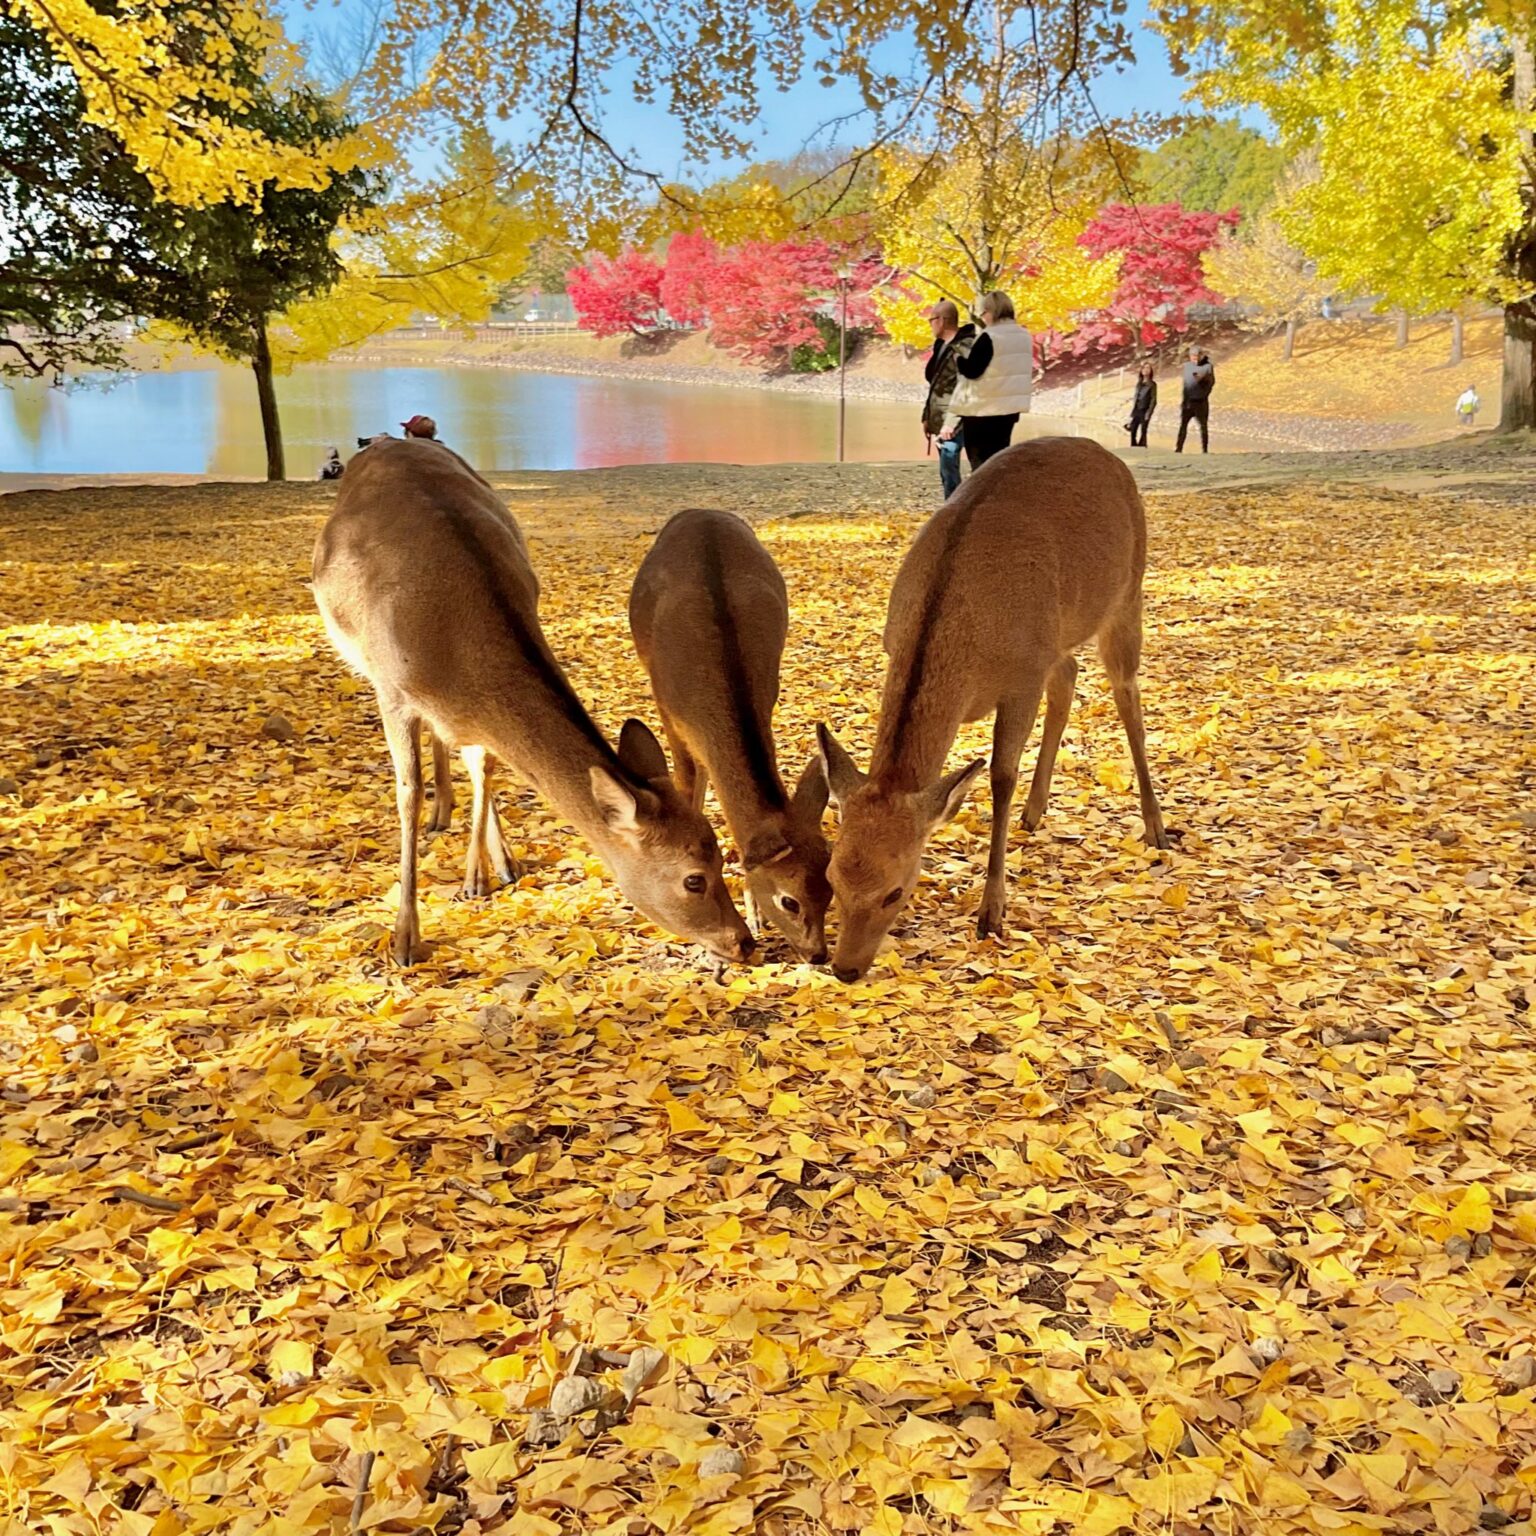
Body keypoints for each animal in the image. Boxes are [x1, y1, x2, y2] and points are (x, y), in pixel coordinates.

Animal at [311, 438, 755, 967]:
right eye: (694, 878)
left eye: (719, 852)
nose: (744, 941)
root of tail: (387, 440)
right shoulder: (391, 690)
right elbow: (406, 794)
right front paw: (404, 939)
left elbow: (485, 766)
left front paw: (482, 874)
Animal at [629, 509, 831, 963]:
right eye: (789, 900)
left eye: (830, 892)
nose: (819, 955)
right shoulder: (669, 716)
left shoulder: (769, 698)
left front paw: (752, 916)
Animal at [816, 436, 1169, 983]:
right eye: (831, 876)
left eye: (896, 889)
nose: (846, 968)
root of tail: (1104, 452)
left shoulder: (1022, 677)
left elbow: (1002, 776)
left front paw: (992, 911)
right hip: (1061, 635)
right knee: (1069, 677)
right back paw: (1036, 811)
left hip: (1127, 594)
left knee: (1126, 692)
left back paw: (1156, 829)